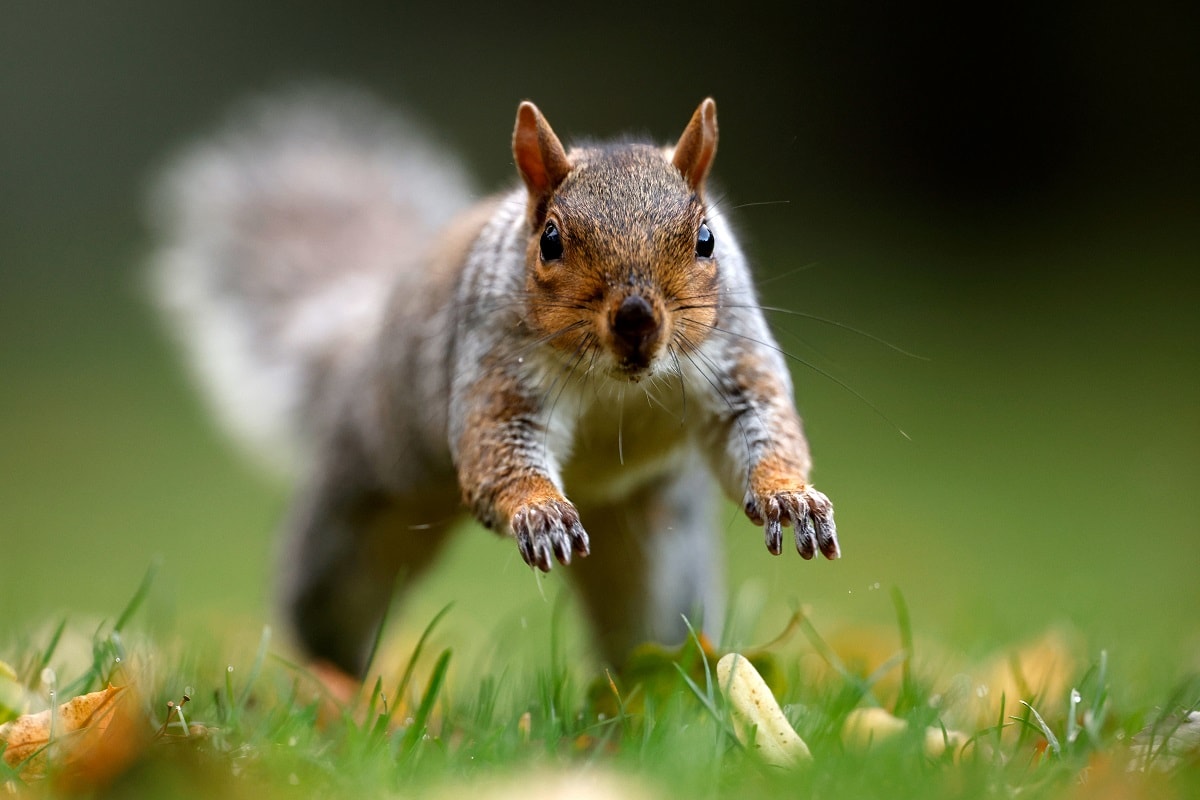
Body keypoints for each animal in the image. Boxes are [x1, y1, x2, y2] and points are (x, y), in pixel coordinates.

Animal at [149, 87, 839, 678]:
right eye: (550, 240)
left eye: (706, 238)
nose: (637, 321)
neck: (616, 384)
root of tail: (358, 348)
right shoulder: (496, 370)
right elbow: (498, 450)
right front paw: (540, 512)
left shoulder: (734, 362)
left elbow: (761, 424)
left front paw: (791, 498)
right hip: (354, 522)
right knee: (327, 615)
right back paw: (336, 690)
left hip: (657, 562)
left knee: (648, 637)